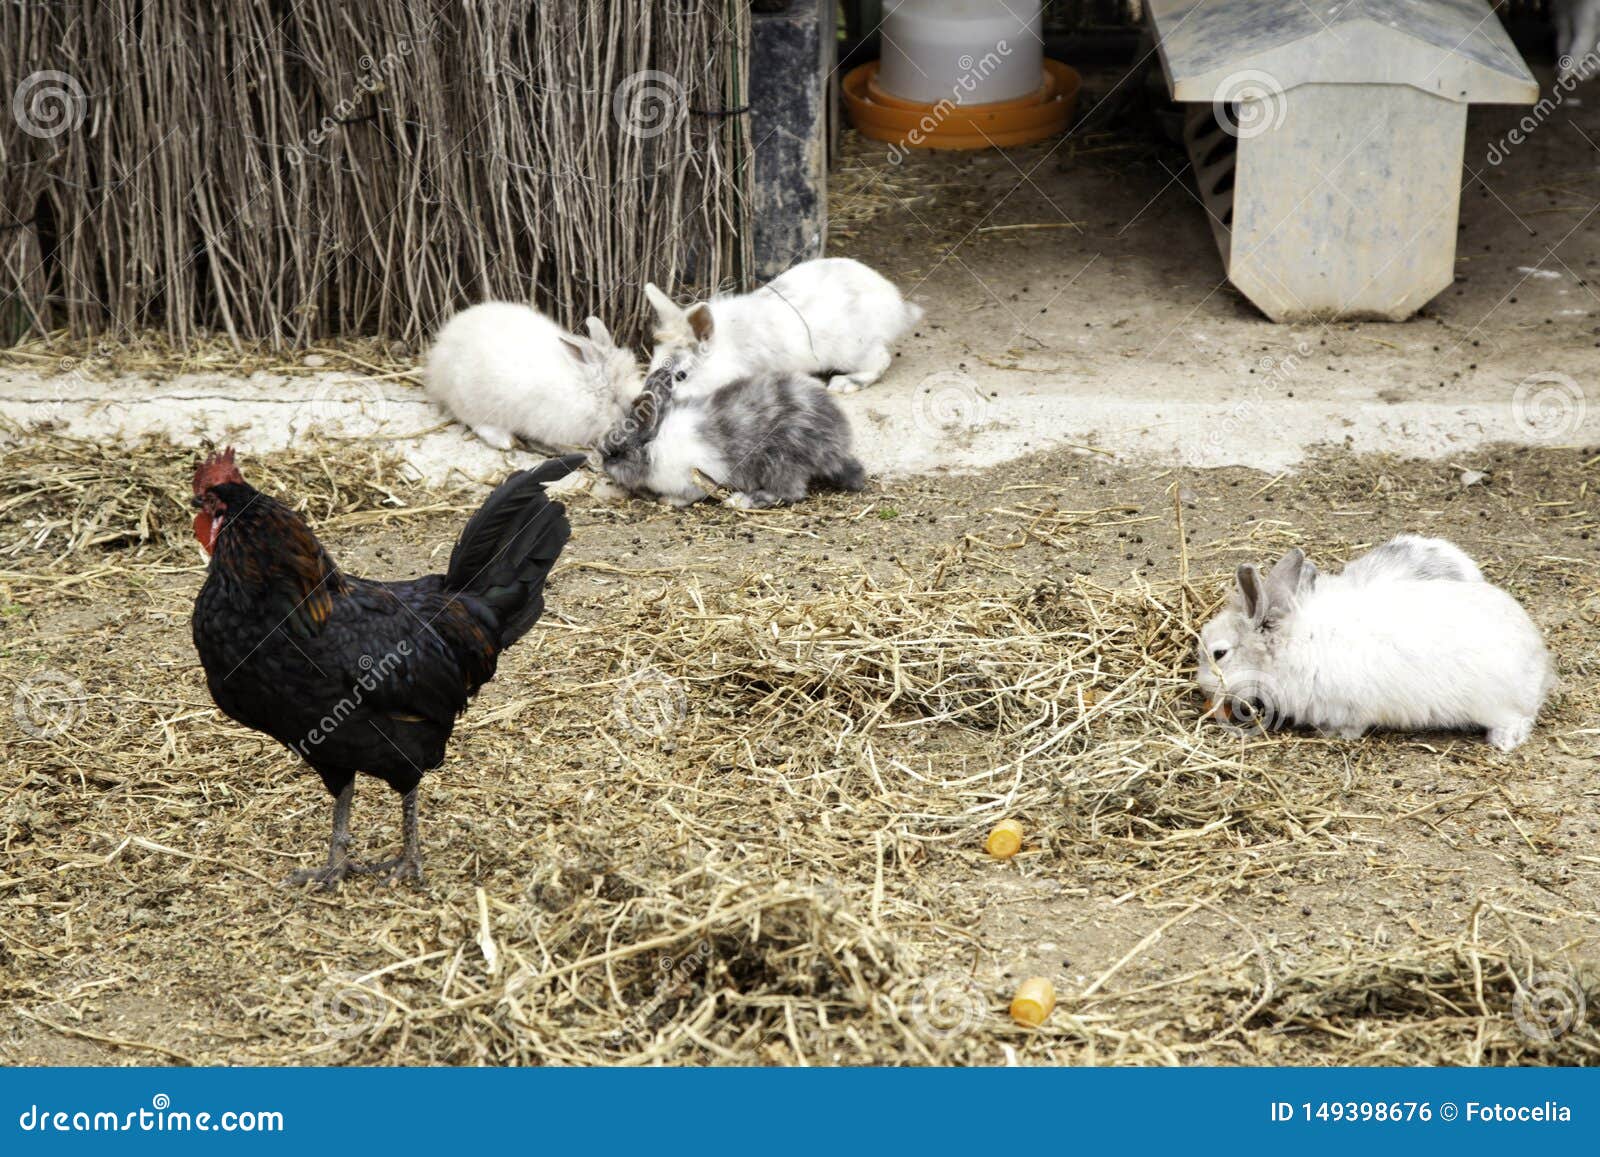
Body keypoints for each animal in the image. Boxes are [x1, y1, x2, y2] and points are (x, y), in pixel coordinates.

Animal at [600, 355, 867, 509]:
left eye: (615, 453)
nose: (603, 465)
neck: (654, 446)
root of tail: (835, 445)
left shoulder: (691, 479)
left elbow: (687, 496)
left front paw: (668, 501)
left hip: (781, 462)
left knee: (789, 493)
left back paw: (740, 501)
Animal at [642, 257, 922, 397]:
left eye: (681, 375)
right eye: (652, 364)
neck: (728, 347)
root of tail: (895, 304)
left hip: (852, 349)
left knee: (881, 360)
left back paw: (844, 383)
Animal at [1195, 547, 1553, 751]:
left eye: (1219, 653)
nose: (1203, 687)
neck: (1289, 647)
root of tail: (1539, 663)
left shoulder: (1348, 706)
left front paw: (1334, 735)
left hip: (1497, 704)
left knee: (1520, 719)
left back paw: (1503, 741)